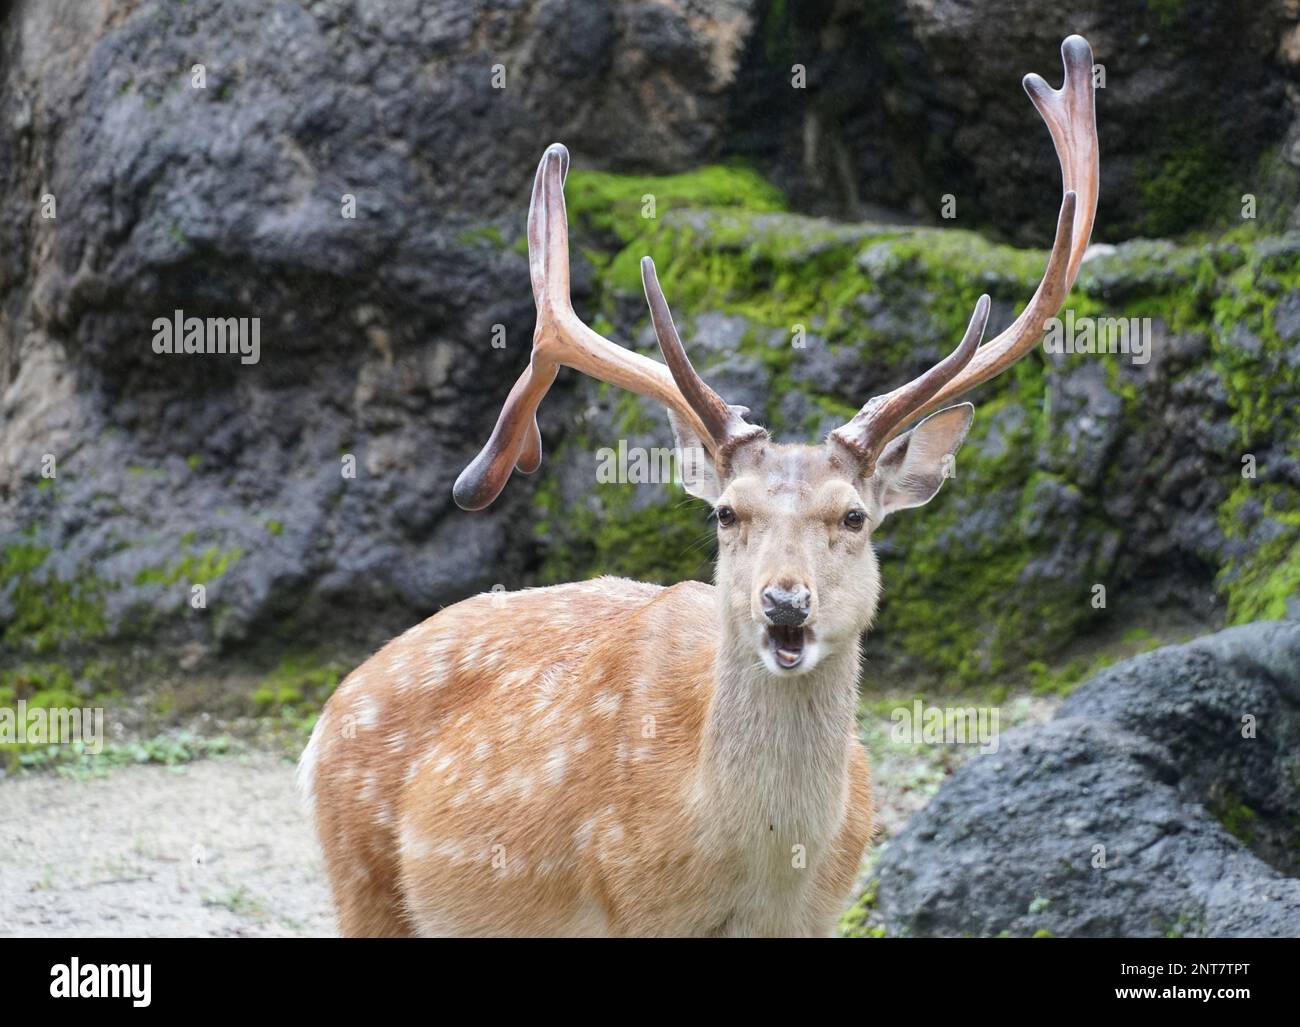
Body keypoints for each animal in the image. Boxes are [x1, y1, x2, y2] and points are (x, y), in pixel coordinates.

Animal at [299, 36, 1098, 937]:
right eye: (725, 512)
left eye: (855, 516)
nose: (783, 600)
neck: (756, 879)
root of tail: (327, 715)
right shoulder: (629, 906)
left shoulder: (828, 908)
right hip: (362, 879)